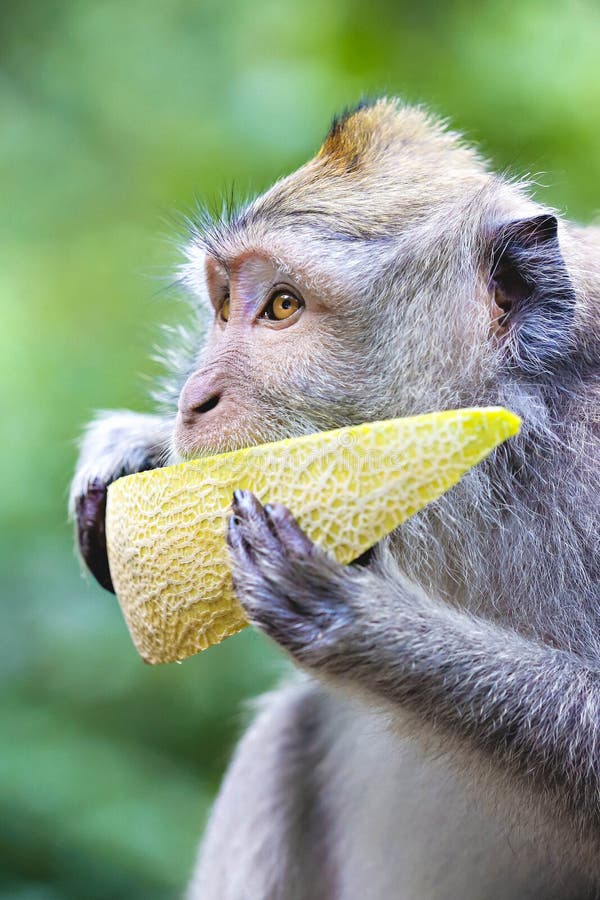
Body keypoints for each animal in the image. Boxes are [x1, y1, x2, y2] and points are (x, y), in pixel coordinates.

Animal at [70, 99, 599, 899]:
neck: (506, 450)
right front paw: (136, 446)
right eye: (223, 304)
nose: (193, 400)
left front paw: (357, 621)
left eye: (282, 306)